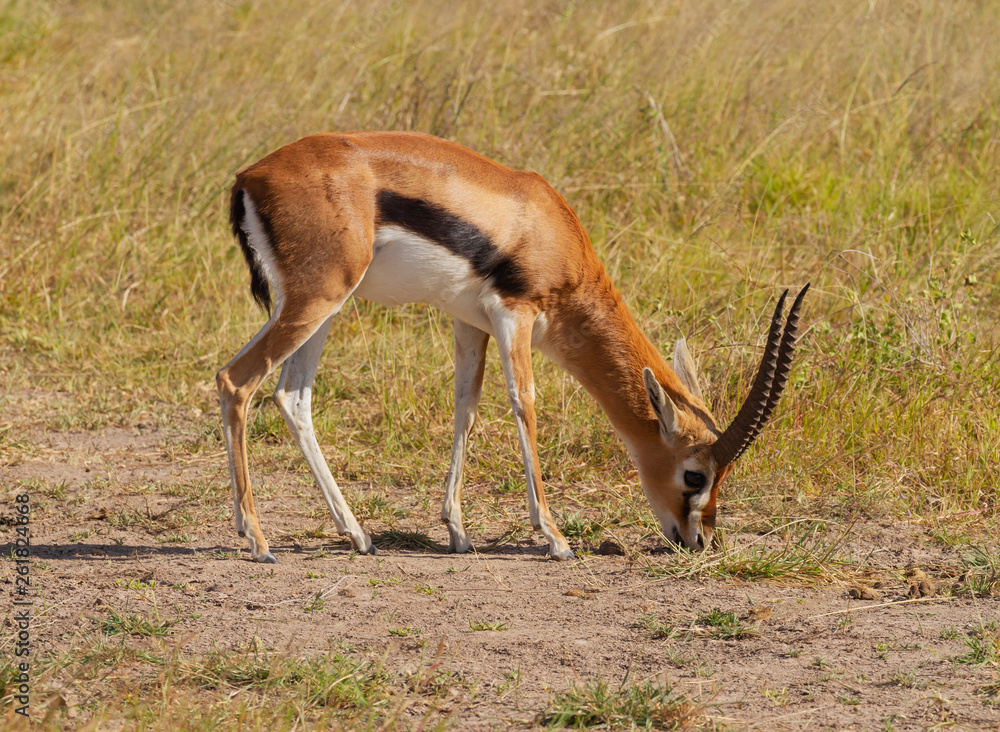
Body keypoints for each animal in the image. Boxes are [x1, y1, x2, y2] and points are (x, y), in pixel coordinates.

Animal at [218, 131, 807, 564]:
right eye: (695, 474)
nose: (700, 539)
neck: (546, 227)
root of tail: (250, 176)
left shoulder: (468, 322)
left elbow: (466, 408)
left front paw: (457, 531)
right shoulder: (514, 314)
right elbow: (525, 405)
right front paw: (556, 538)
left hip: (317, 306)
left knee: (292, 397)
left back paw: (359, 537)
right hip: (318, 299)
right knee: (236, 381)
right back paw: (258, 541)